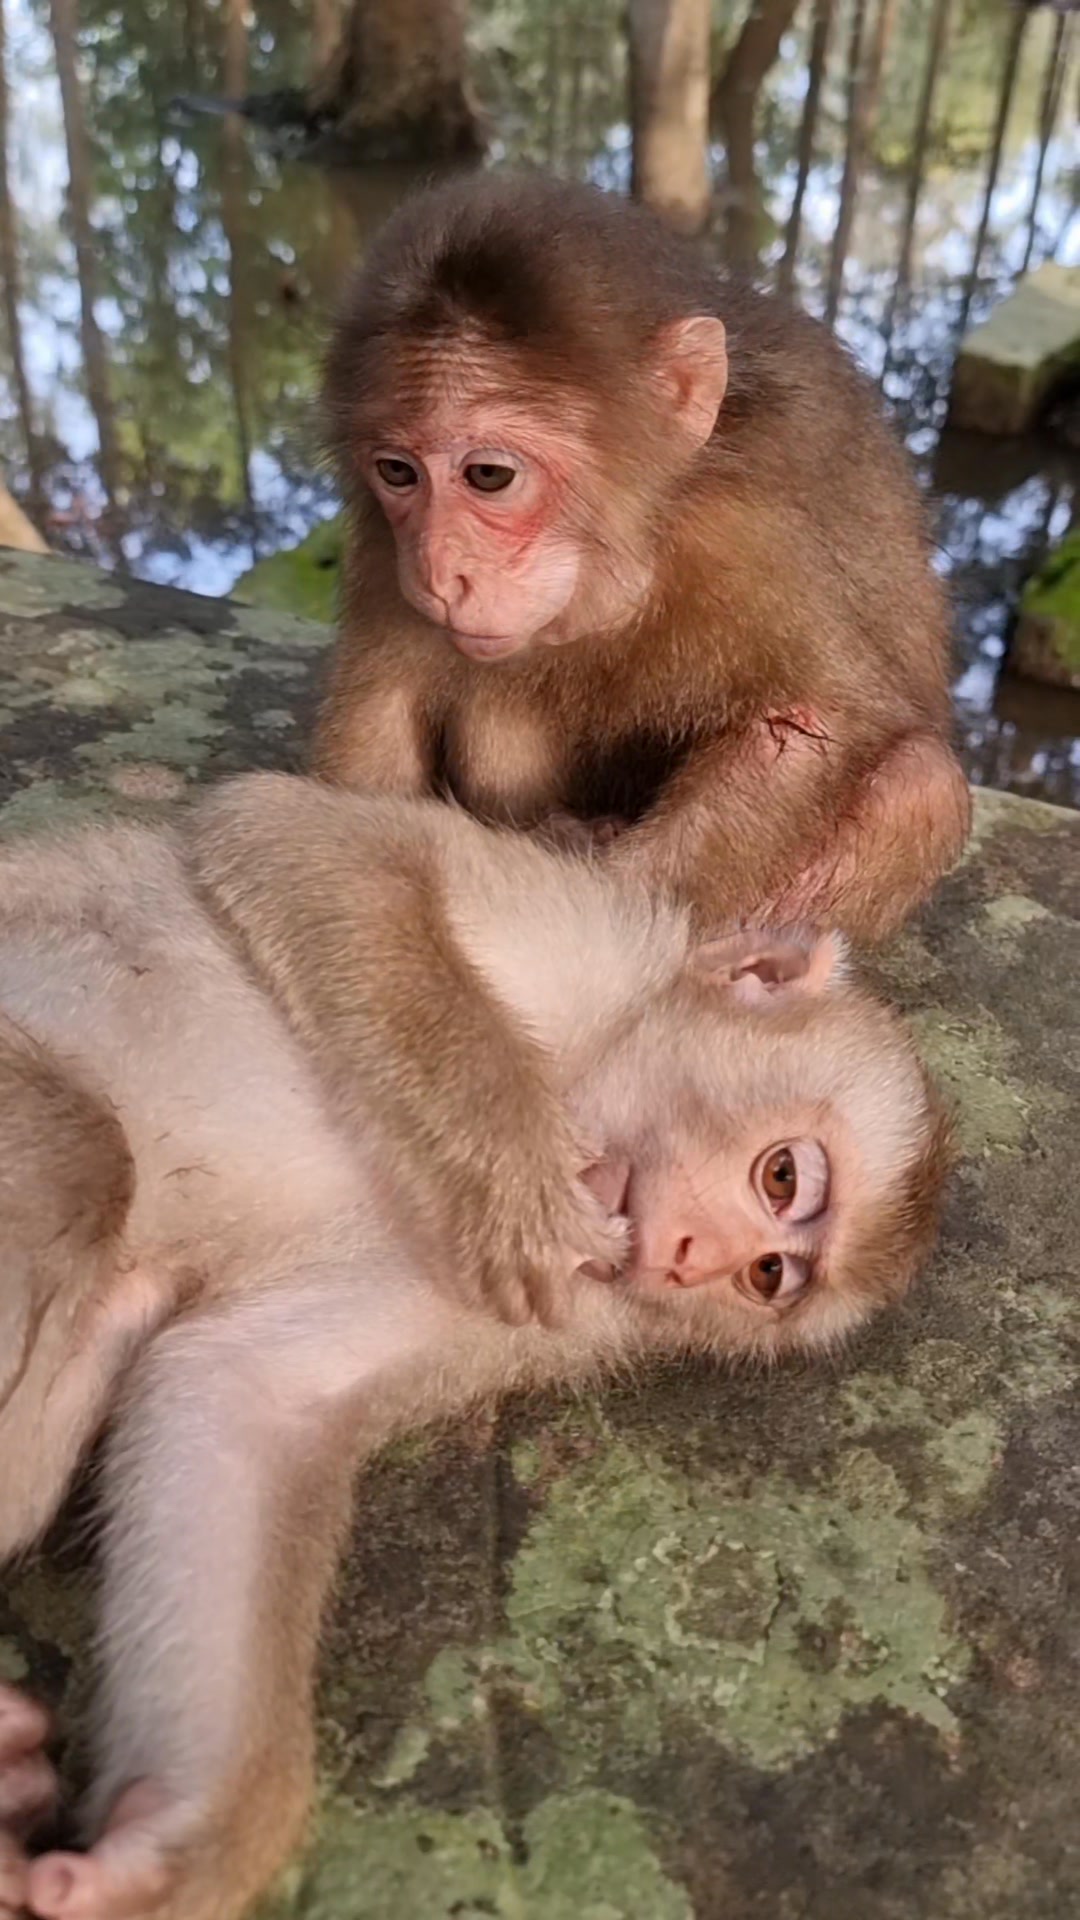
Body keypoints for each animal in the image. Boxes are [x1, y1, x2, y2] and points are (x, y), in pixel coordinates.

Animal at [0, 772, 950, 1920]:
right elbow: (303, 838)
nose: (691, 1260)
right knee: (79, 1153)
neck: (581, 1078)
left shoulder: (545, 1310)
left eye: (767, 1277)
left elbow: (236, 1393)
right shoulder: (583, 942)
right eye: (782, 1177)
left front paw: (178, 1846)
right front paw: (507, 1168)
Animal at [313, 167, 971, 950]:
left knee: (918, 785)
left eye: (489, 476)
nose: (441, 572)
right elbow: (378, 729)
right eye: (397, 473)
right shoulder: (382, 552)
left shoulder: (749, 533)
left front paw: (587, 909)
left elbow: (812, 723)